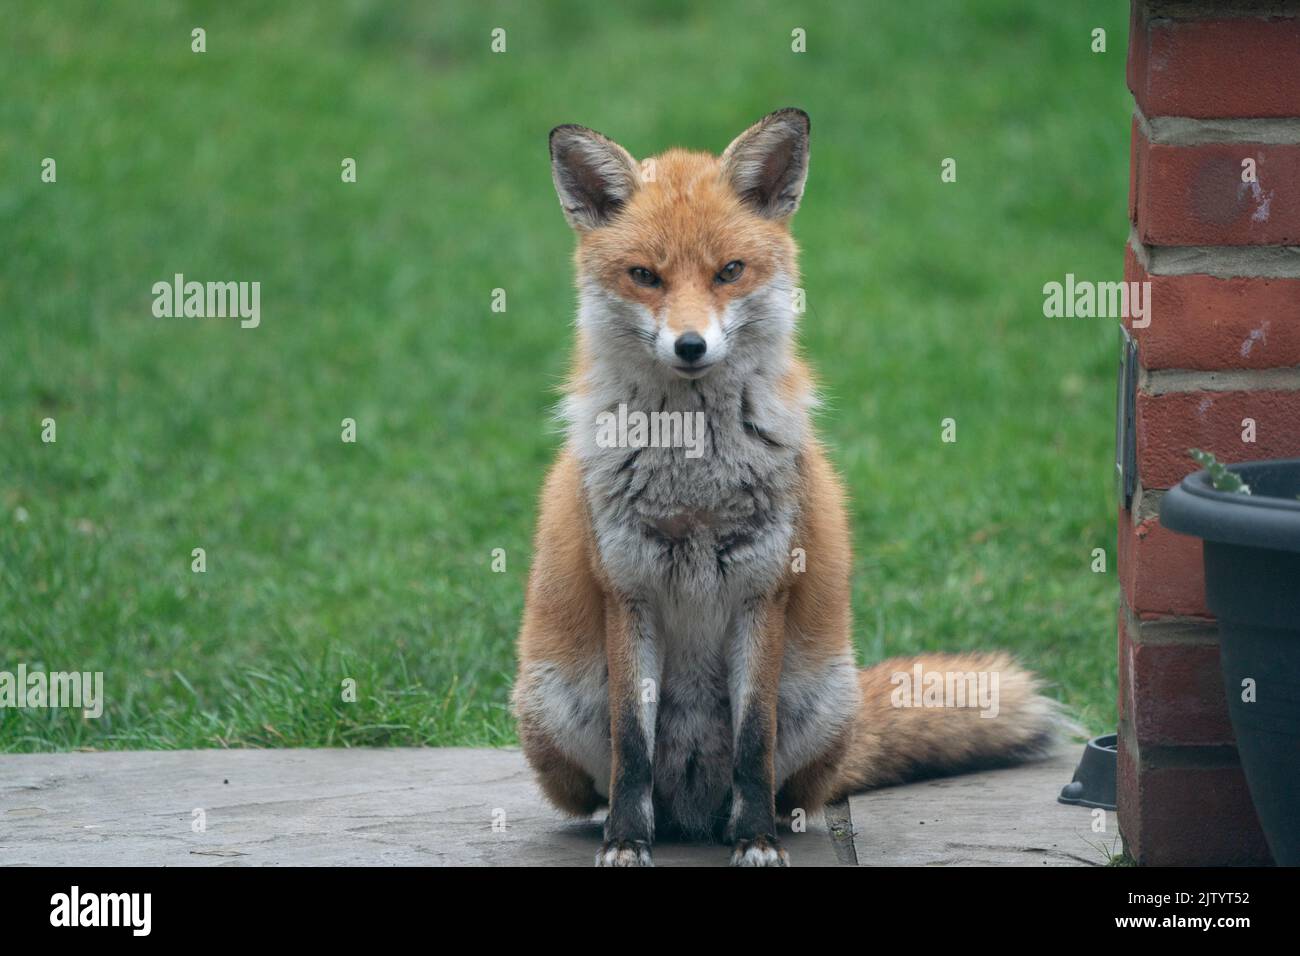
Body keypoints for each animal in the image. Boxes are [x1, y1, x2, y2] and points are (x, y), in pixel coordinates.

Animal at [512, 108, 1060, 867]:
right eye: (645, 276)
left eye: (729, 272)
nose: (690, 346)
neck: (695, 486)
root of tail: (689, 815)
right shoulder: (627, 592)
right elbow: (633, 748)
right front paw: (626, 840)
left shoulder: (762, 589)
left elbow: (753, 742)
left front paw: (755, 842)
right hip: (553, 705)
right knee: (614, 781)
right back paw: (631, 825)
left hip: (825, 699)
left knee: (789, 785)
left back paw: (758, 822)